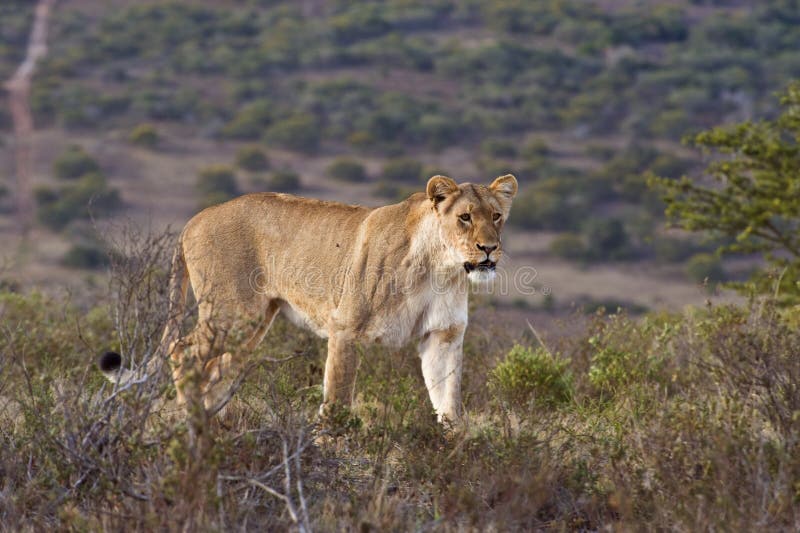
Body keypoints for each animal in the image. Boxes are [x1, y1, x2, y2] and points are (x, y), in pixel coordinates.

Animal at [99, 174, 518, 424]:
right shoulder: (346, 328)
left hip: (253, 324)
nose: (489, 249)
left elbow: (449, 403)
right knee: (182, 349)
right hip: (231, 314)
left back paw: (214, 428)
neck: (440, 267)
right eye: (465, 217)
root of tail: (196, 217)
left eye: (496, 216)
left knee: (217, 372)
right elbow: (337, 400)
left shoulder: (443, 337)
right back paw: (195, 426)